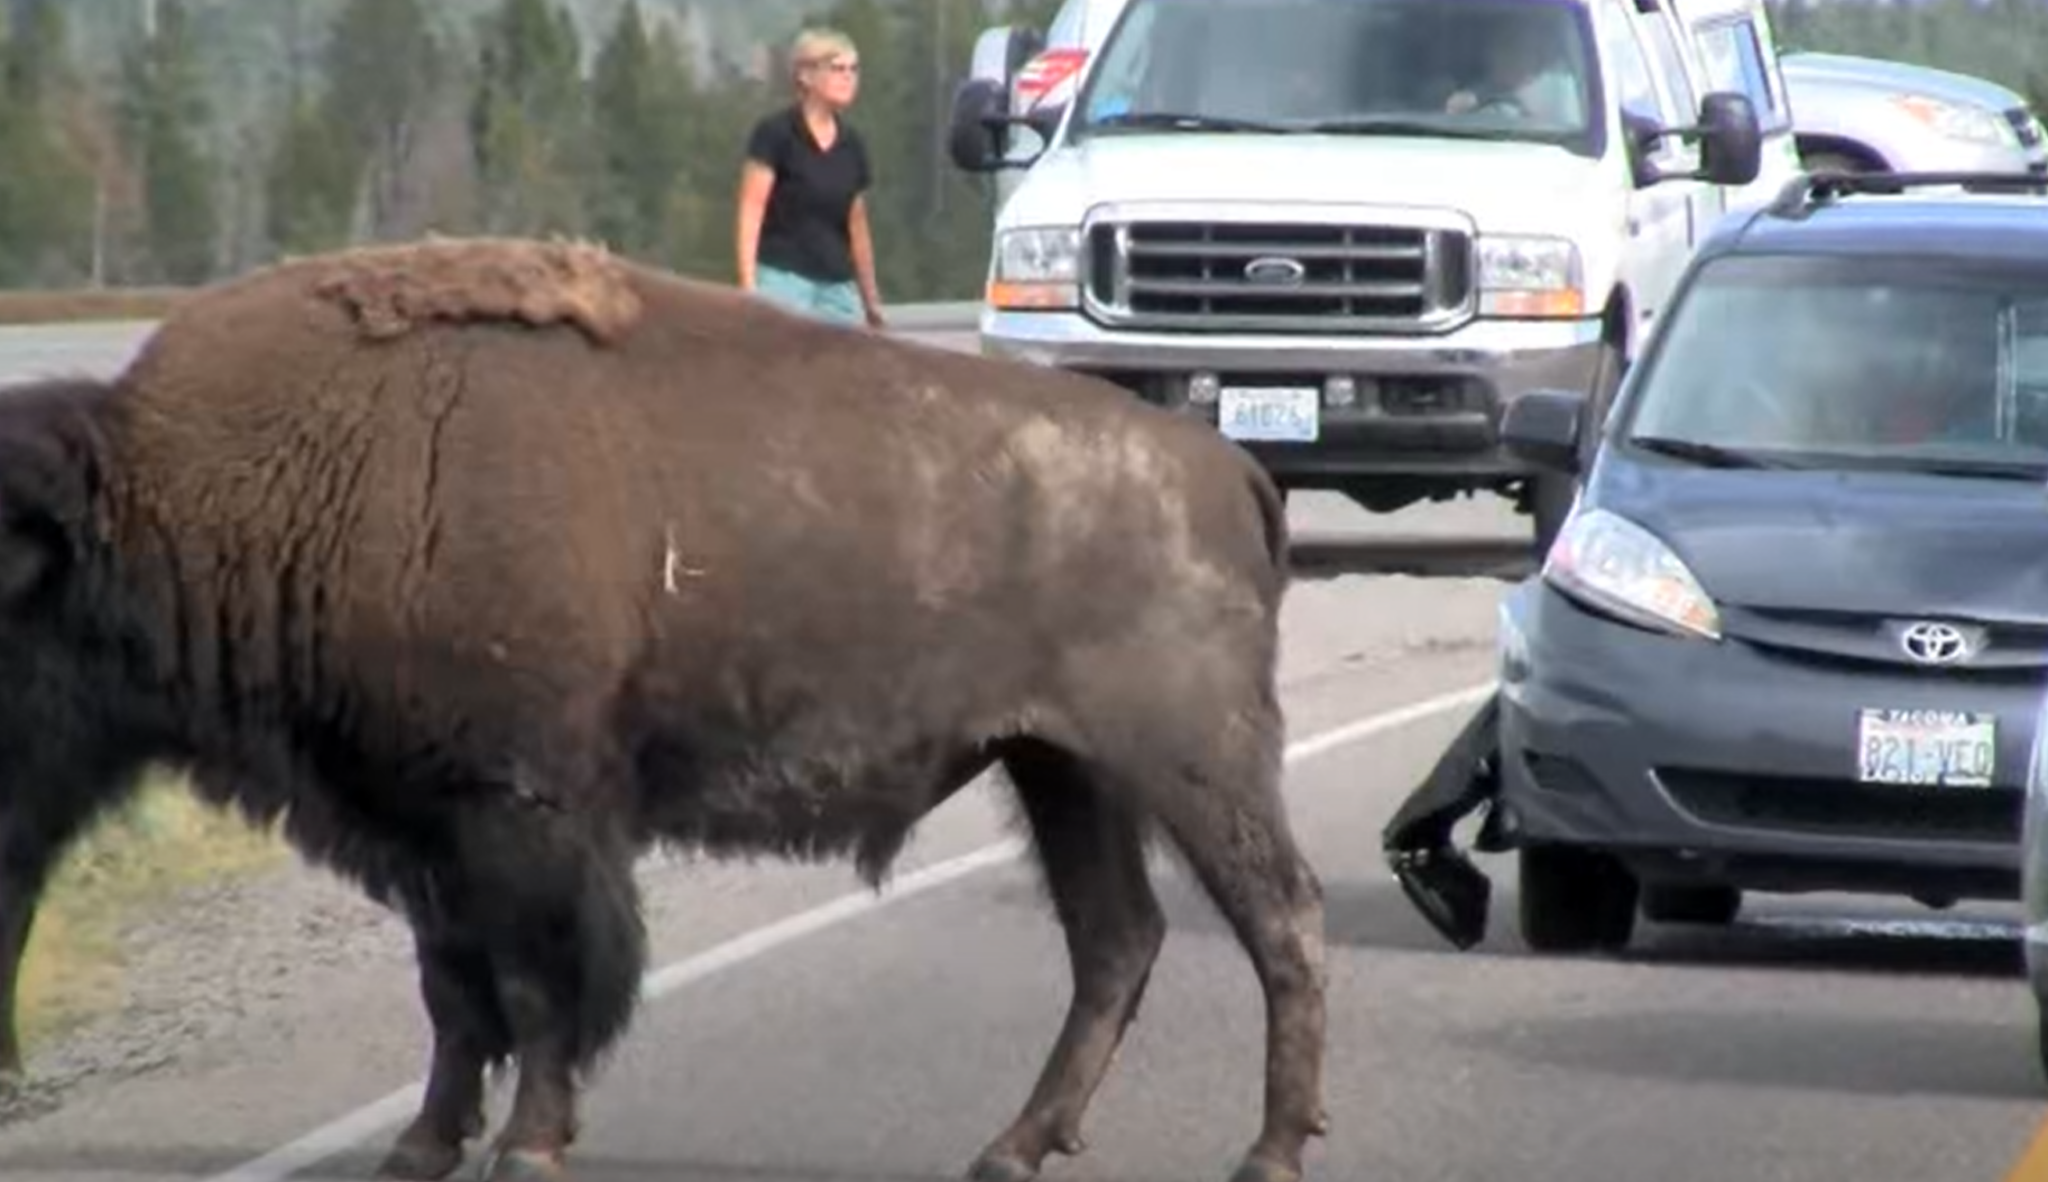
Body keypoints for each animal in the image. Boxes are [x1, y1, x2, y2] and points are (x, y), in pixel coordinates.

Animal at [0, 237, 1329, 1182]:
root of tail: (1224, 468)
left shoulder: (522, 816)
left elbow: (540, 989)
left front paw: (525, 1147)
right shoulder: (420, 832)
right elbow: (453, 996)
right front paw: (421, 1148)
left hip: (1190, 764)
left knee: (1277, 921)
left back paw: (1263, 1154)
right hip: (1059, 770)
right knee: (1116, 940)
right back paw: (1009, 1149)